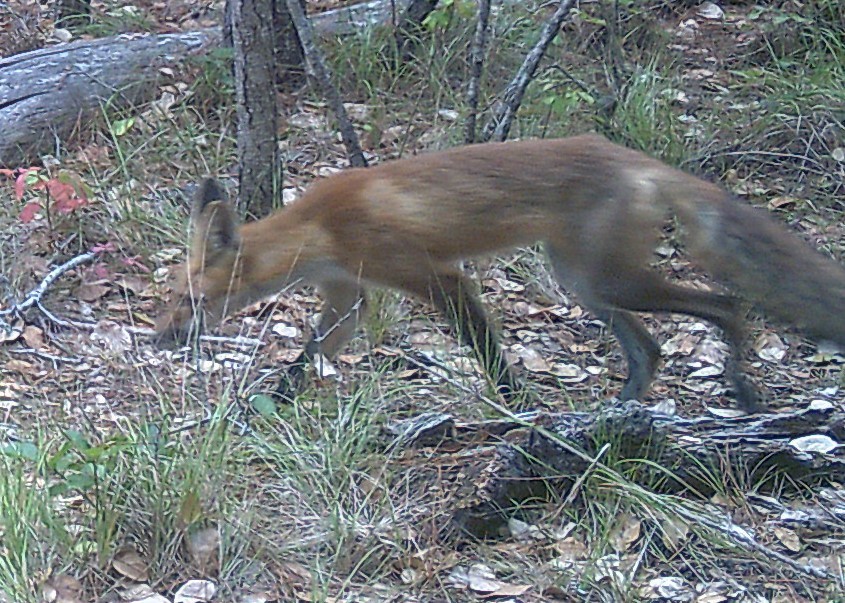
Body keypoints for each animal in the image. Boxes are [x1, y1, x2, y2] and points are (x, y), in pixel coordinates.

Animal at [155, 134, 845, 412]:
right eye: (171, 299)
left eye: (191, 301)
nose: (160, 339)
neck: (321, 229)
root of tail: (635, 158)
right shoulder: (349, 299)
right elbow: (301, 364)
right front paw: (254, 413)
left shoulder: (439, 277)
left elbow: (488, 353)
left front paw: (518, 409)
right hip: (585, 284)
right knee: (650, 350)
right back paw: (614, 416)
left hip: (613, 282)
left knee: (729, 304)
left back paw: (743, 389)